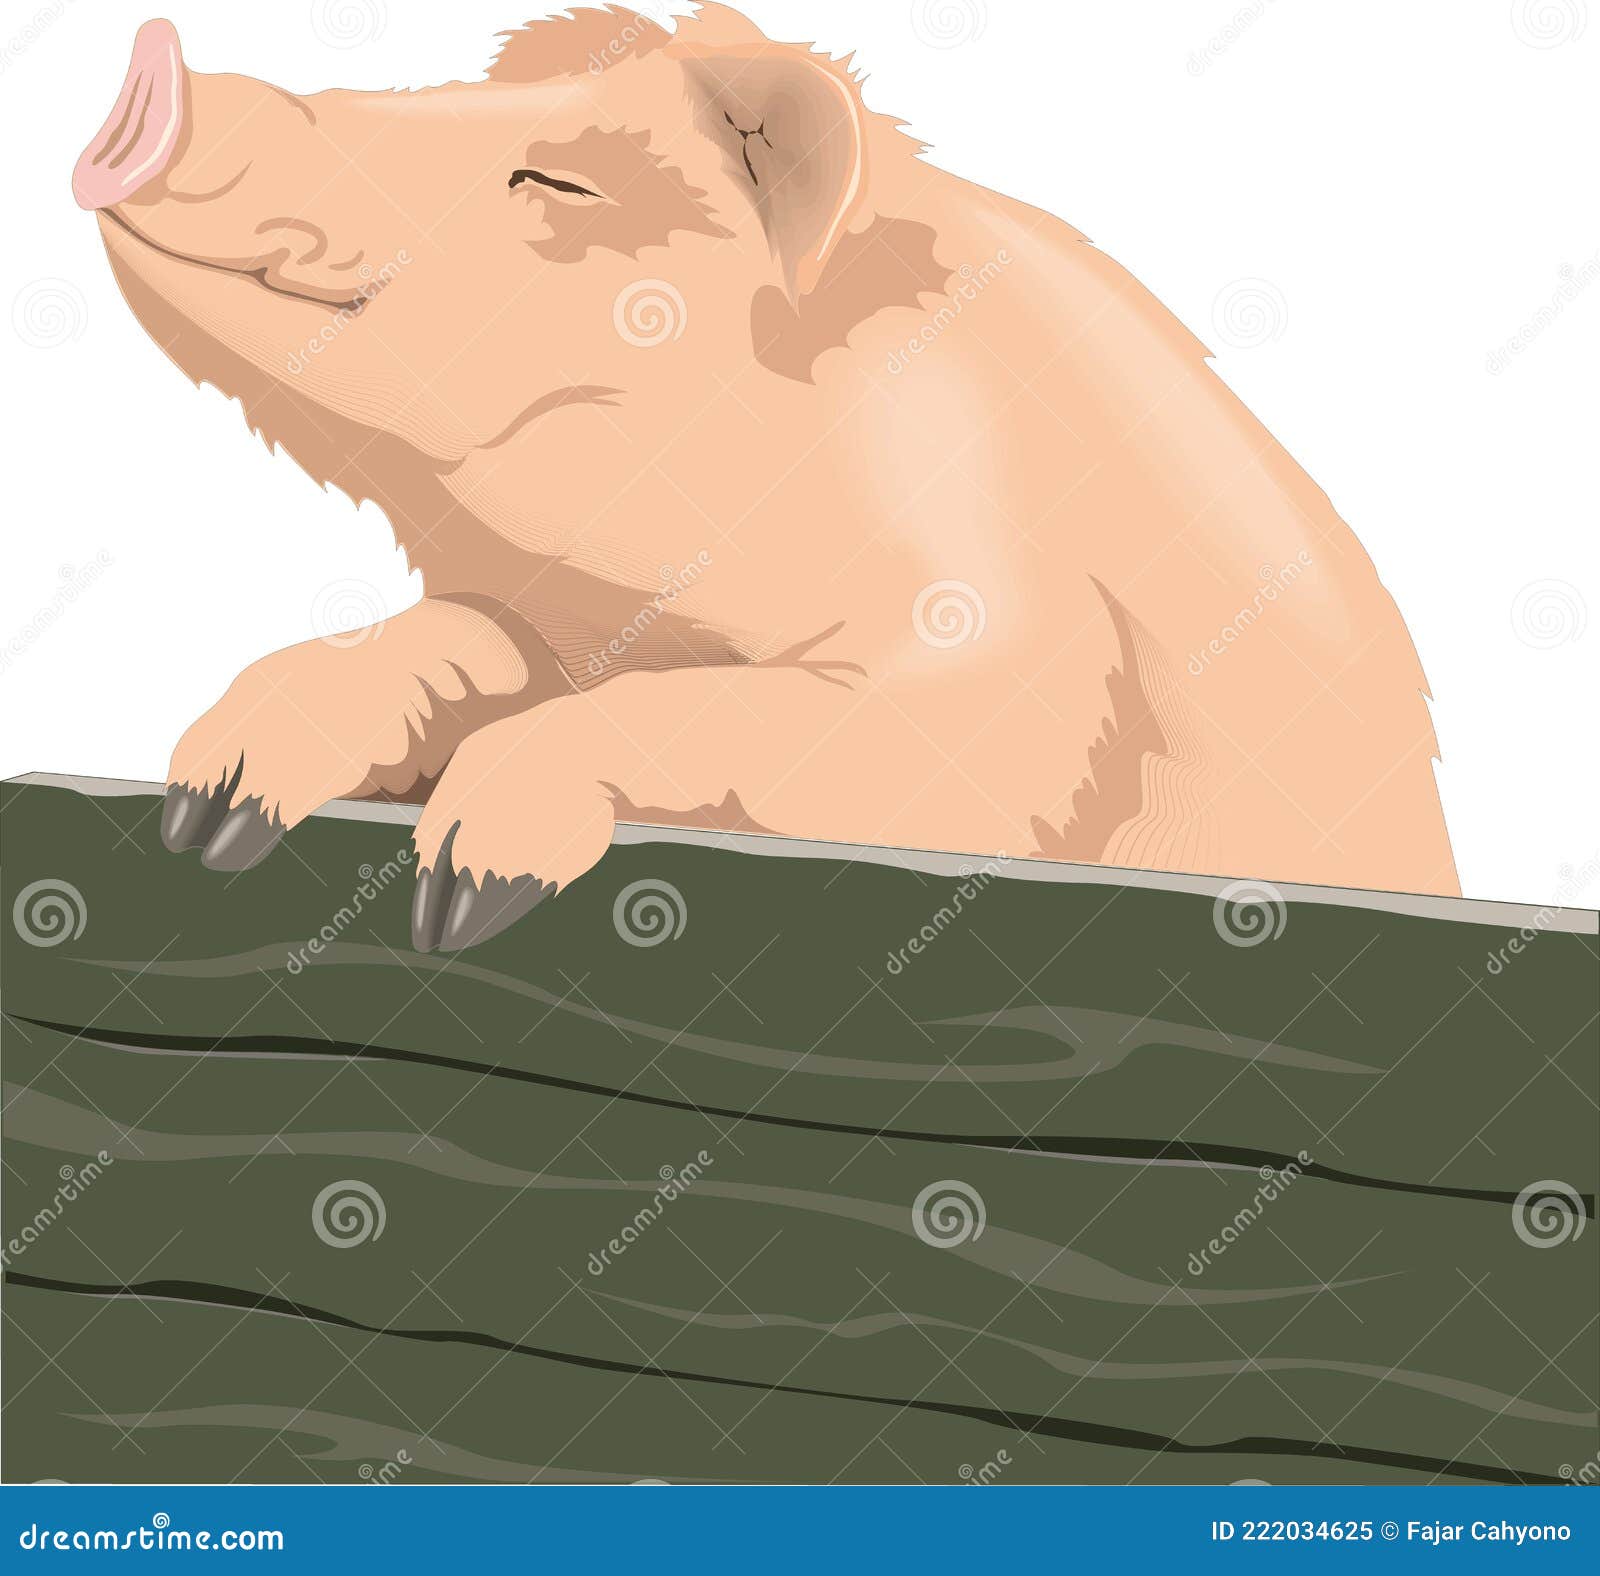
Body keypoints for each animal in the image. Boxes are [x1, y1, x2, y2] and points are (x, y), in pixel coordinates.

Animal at [73, 4, 1458, 952]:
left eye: (556, 177)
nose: (156, 55)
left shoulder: (1018, 657)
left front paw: (461, 891)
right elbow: (459, 639)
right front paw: (206, 805)